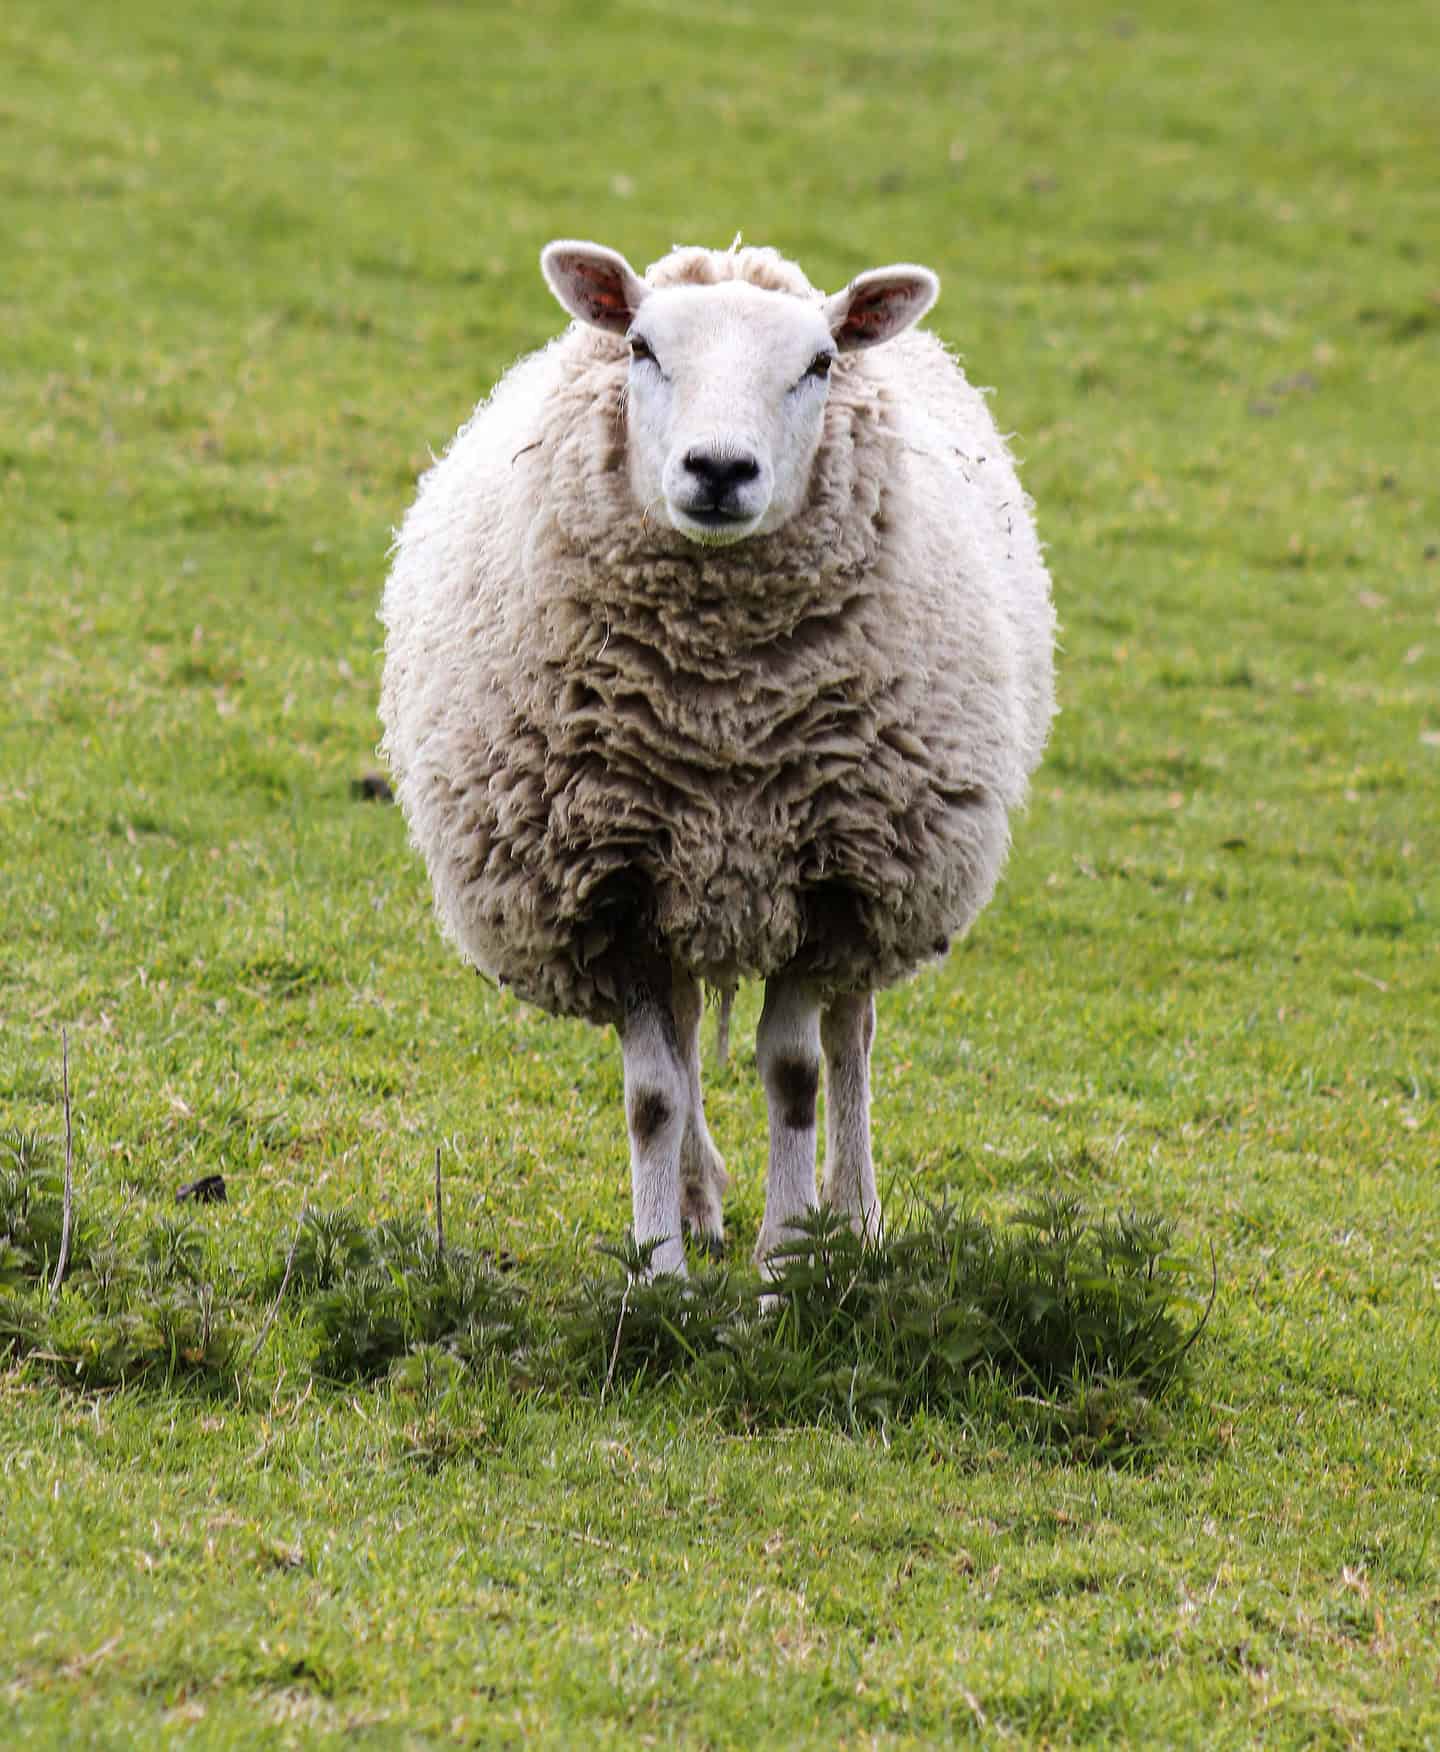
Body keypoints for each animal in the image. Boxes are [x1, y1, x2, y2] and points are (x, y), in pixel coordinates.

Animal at [379, 239, 1056, 1279]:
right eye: (643, 348)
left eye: (820, 362)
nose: (720, 468)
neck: (721, 715)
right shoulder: (609, 884)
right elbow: (654, 1096)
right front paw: (660, 1274)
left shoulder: (833, 880)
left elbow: (796, 1075)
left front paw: (789, 1264)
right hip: (680, 887)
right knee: (692, 1032)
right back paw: (698, 1203)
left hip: (885, 876)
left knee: (852, 1038)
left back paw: (853, 1213)